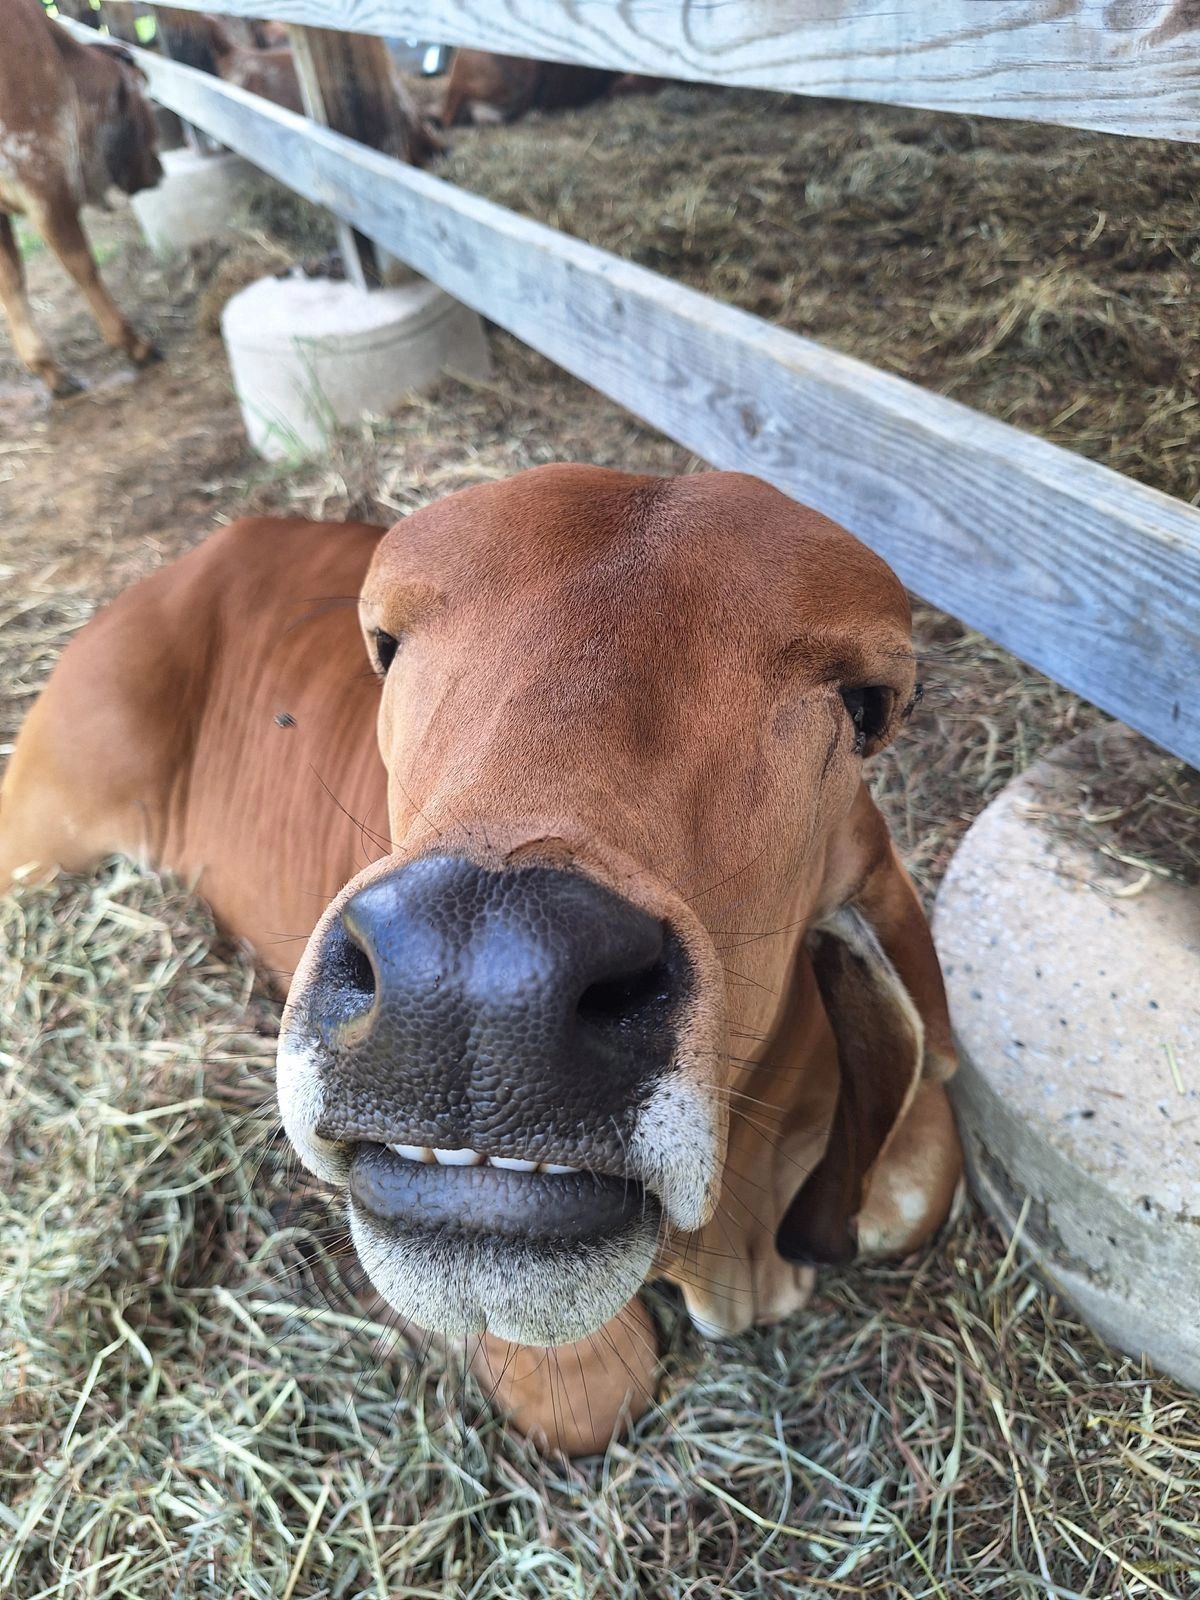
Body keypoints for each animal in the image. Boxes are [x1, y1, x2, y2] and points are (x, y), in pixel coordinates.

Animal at [0, 0, 162, 396]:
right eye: (145, 100)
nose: (159, 165)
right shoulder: (44, 181)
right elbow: (82, 265)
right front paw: (133, 342)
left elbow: (11, 282)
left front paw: (48, 369)